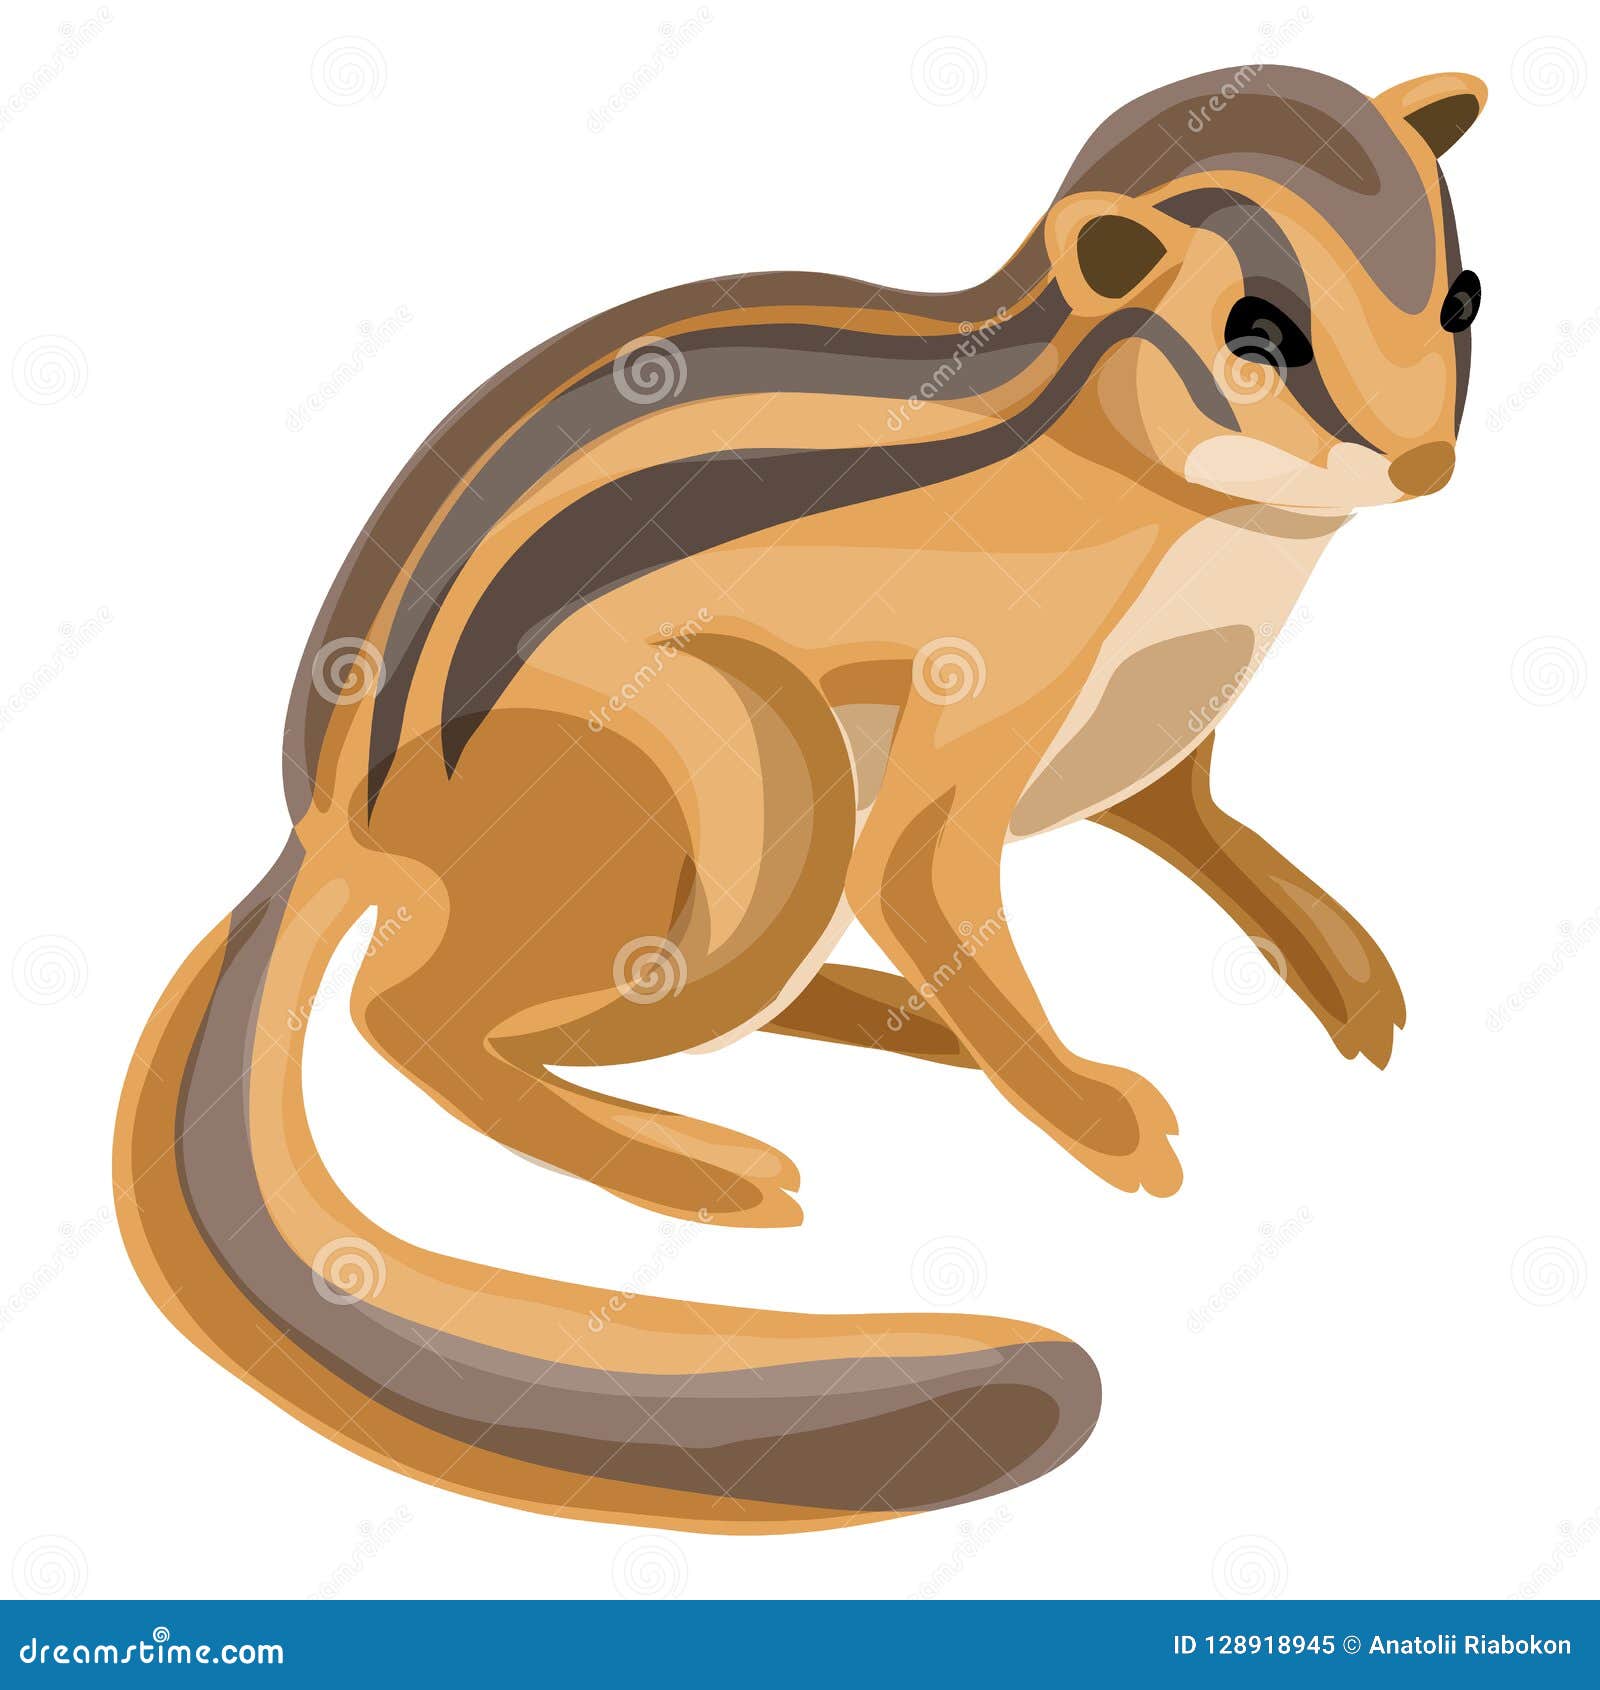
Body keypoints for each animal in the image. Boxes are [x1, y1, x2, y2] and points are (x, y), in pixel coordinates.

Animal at [116, 65, 1484, 1533]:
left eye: (1463, 296)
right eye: (1257, 332)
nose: (1424, 466)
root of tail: (333, 832)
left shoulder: (1157, 744)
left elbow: (1205, 830)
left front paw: (1343, 965)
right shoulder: (981, 698)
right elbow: (924, 876)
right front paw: (1097, 1115)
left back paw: (899, 1020)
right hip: (747, 766)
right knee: (414, 1014)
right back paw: (695, 1161)